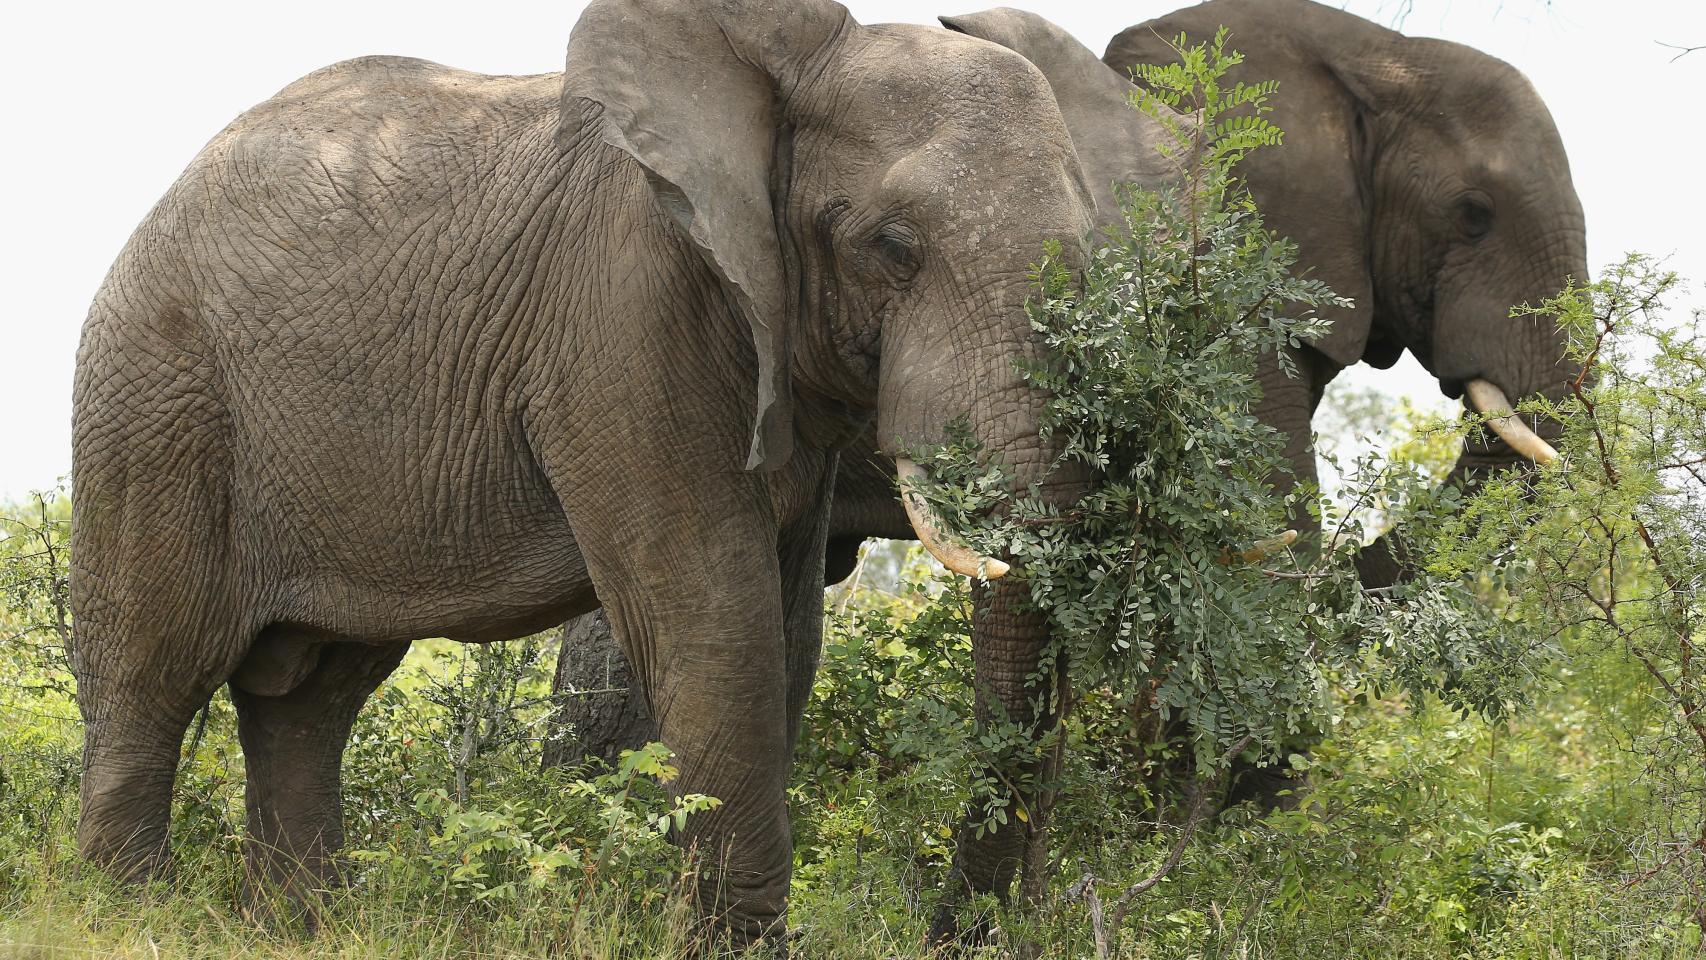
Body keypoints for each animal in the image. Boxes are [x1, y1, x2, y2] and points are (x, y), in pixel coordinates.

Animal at [67, 0, 1115, 944]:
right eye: (892, 248)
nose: (956, 931)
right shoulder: (624, 314)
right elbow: (717, 624)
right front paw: (735, 944)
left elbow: (790, 633)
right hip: (157, 406)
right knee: (151, 671)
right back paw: (132, 914)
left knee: (312, 693)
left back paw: (299, 927)